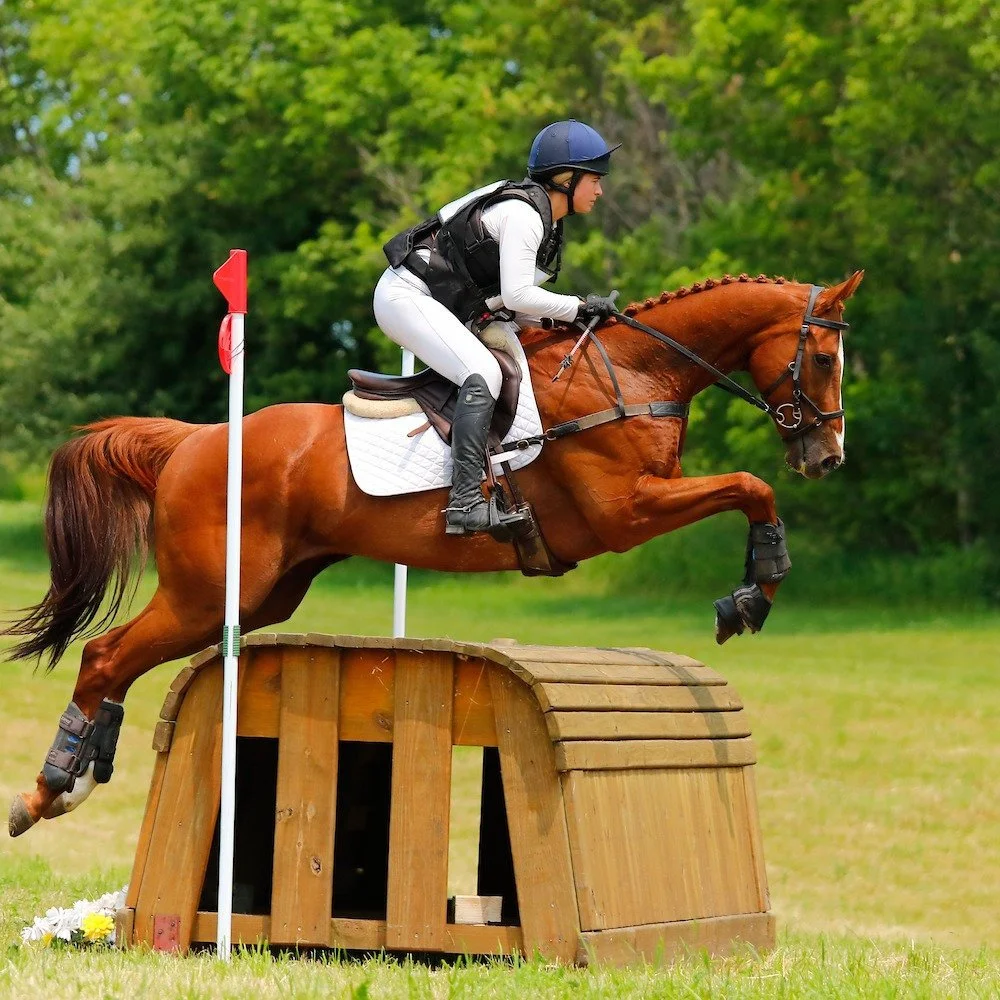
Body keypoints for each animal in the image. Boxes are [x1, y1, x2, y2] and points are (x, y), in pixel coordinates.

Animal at [3, 269, 863, 837]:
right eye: (823, 360)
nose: (827, 458)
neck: (631, 372)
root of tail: (193, 440)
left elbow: (750, 489)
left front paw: (752, 590)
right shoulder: (625, 512)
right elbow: (750, 486)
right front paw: (751, 594)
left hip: (259, 594)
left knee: (122, 660)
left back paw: (79, 775)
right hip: (209, 590)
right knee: (105, 655)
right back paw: (48, 790)